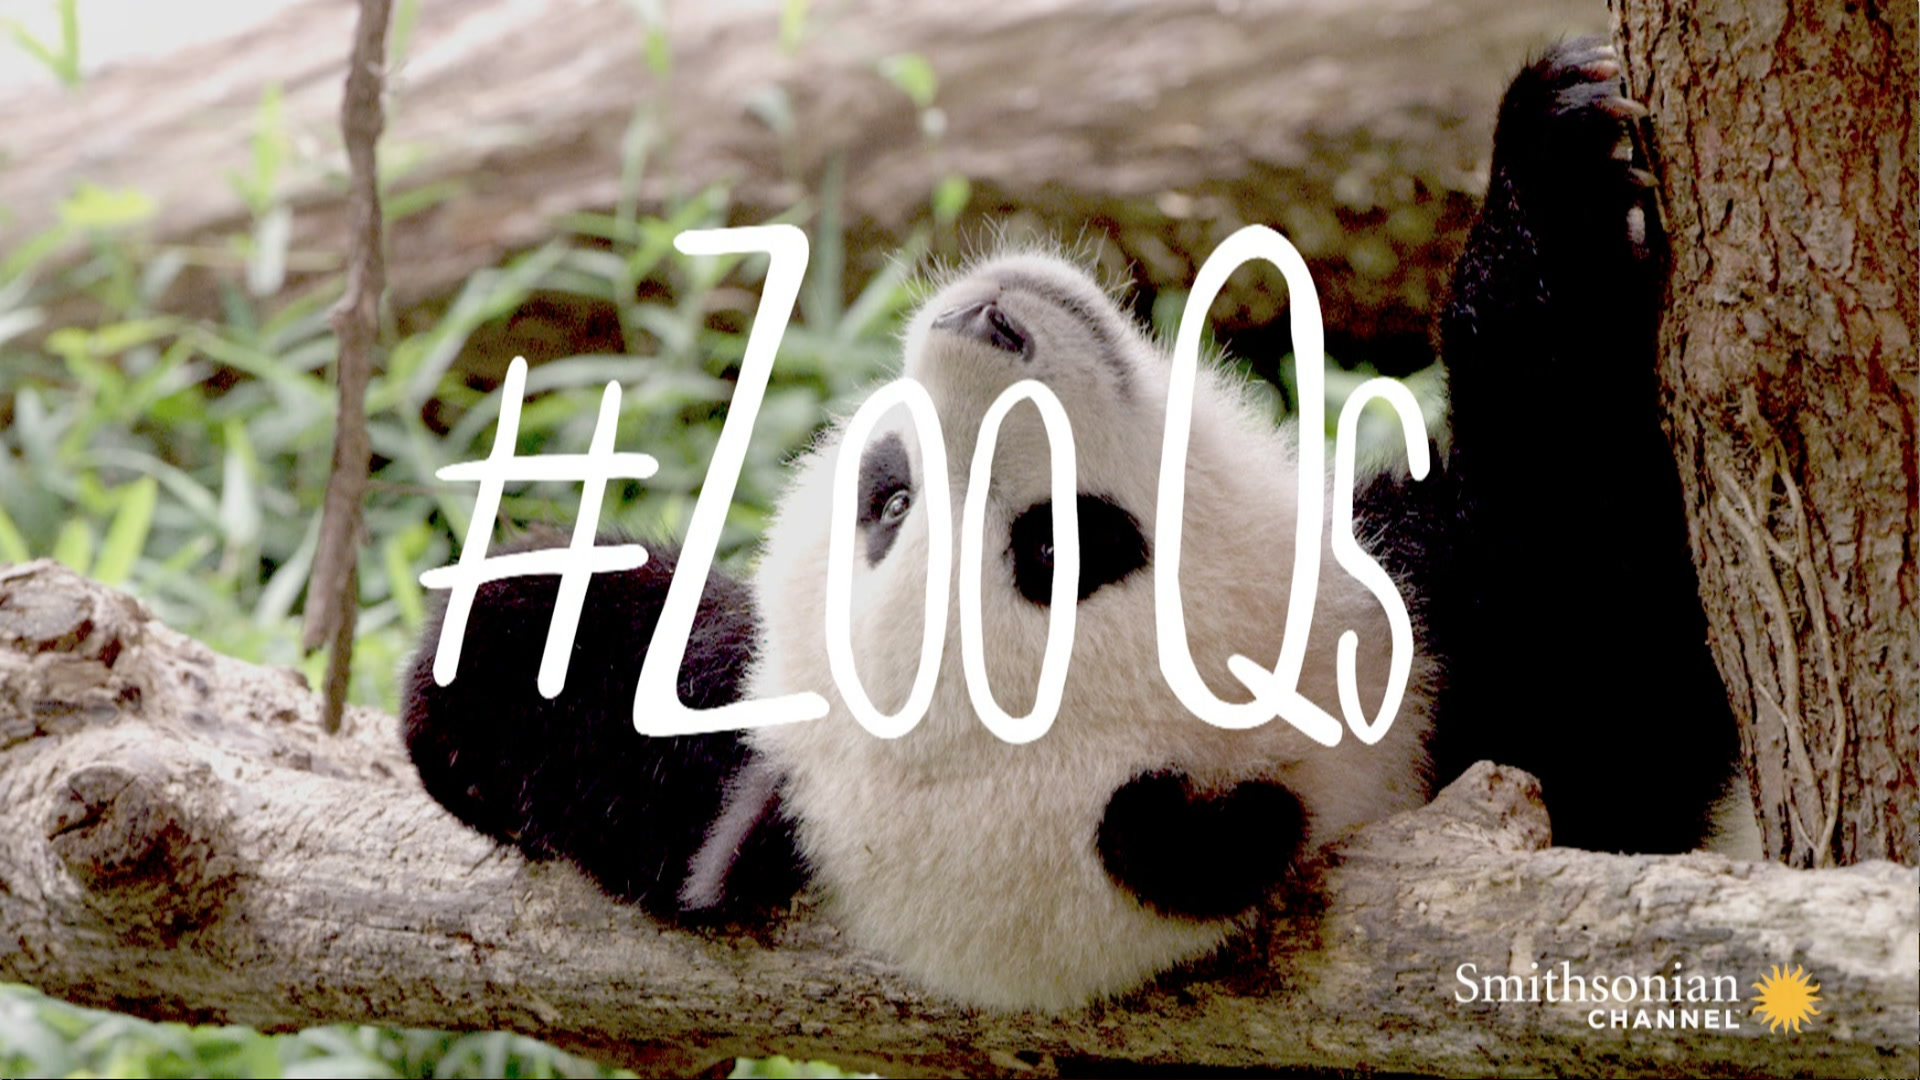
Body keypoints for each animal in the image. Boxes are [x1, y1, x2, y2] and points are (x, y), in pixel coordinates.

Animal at [401, 40, 1738, 1012]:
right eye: (1061, 551)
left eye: (885, 504)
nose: (989, 322)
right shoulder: (1512, 728)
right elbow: (1611, 608)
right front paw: (1560, 178)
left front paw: (508, 641)